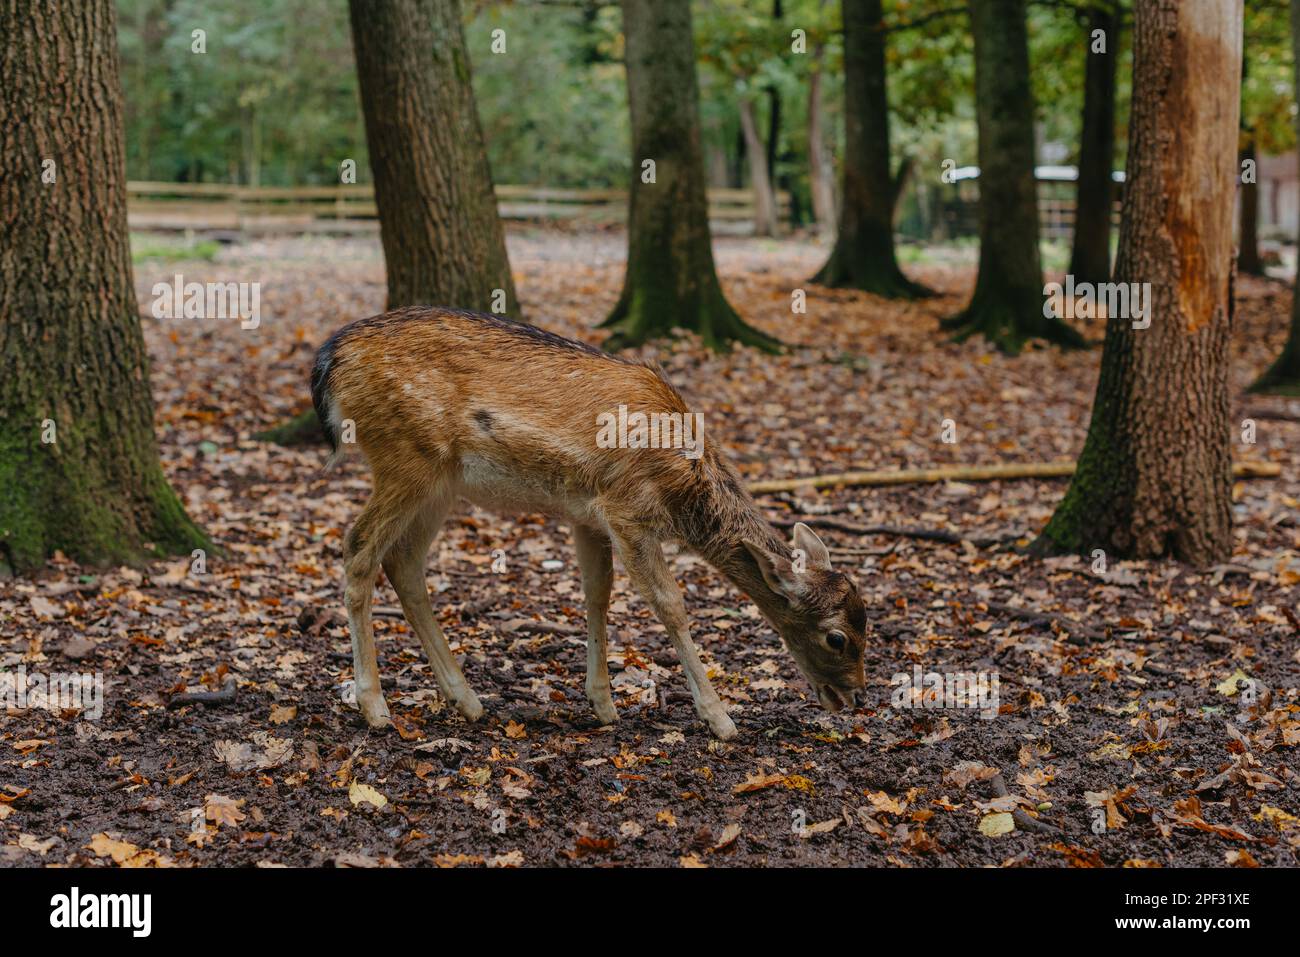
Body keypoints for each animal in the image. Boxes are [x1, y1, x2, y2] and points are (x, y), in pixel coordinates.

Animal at [312, 306, 868, 740]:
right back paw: (374, 706)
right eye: (837, 638)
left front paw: (603, 705)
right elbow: (670, 604)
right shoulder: (628, 509)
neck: (683, 481)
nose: (856, 698)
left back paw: (465, 699)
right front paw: (720, 719)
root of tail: (329, 362)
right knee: (358, 546)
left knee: (403, 560)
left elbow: (597, 594)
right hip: (404, 457)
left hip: (440, 484)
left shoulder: (590, 515)